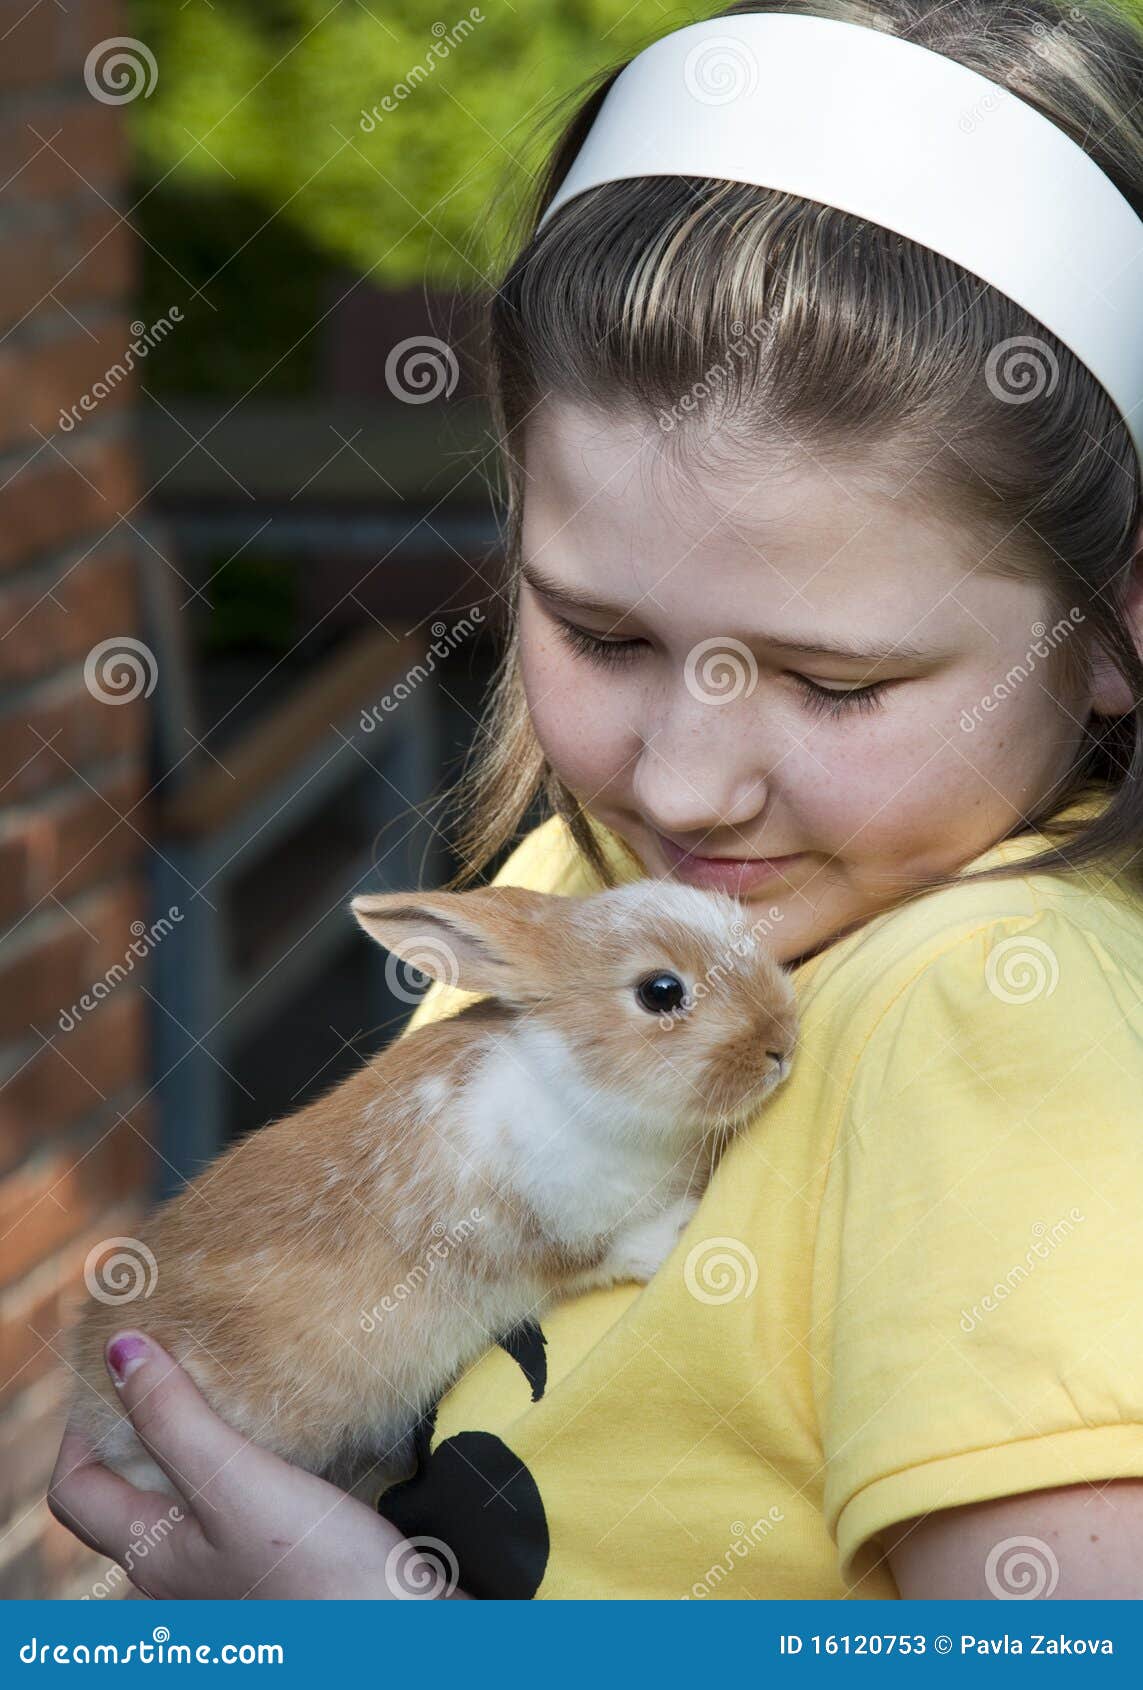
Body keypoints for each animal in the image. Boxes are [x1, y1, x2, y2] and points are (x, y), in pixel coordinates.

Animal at [65, 877, 798, 1509]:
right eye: (660, 991)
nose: (782, 1046)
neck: (576, 1081)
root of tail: (92, 1392)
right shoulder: (529, 1230)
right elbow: (588, 1258)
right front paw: (671, 1233)